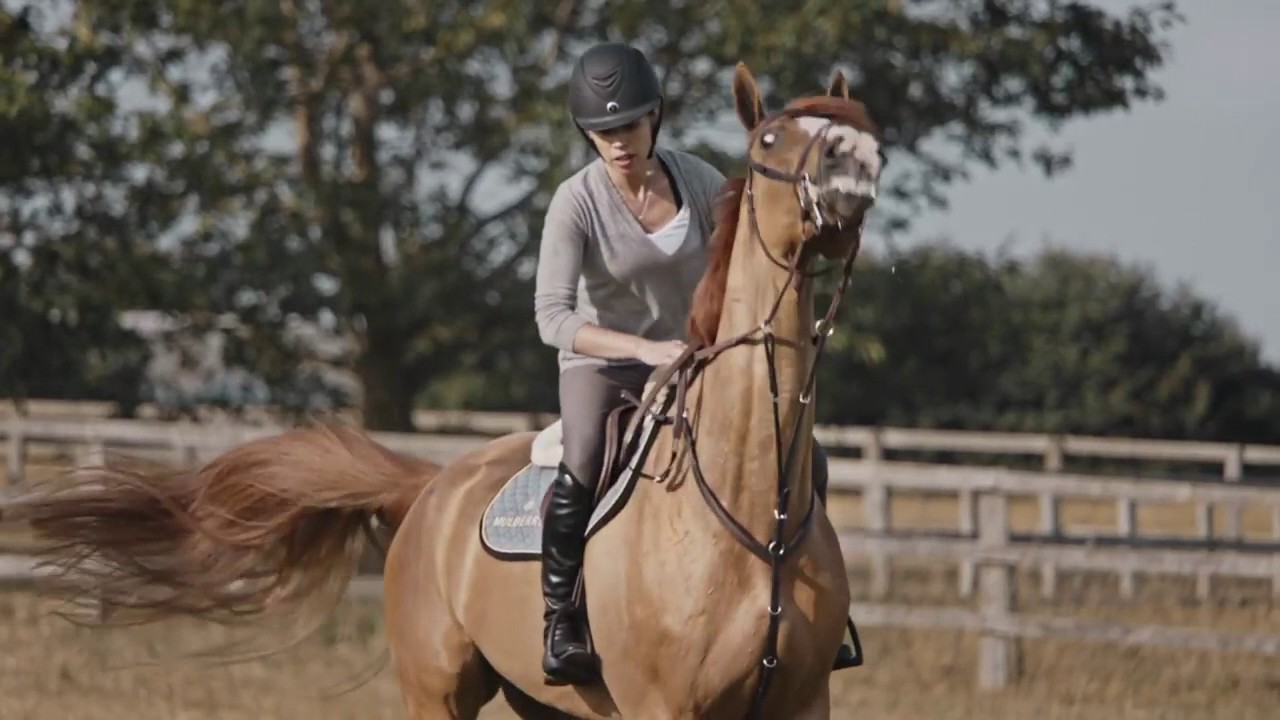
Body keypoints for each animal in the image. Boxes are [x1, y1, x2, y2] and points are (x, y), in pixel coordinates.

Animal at [4, 61, 884, 719]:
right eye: (772, 136)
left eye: (858, 119)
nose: (859, 161)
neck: (748, 511)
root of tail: (430, 488)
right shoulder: (663, 709)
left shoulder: (801, 705)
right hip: (437, 692)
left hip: (542, 701)